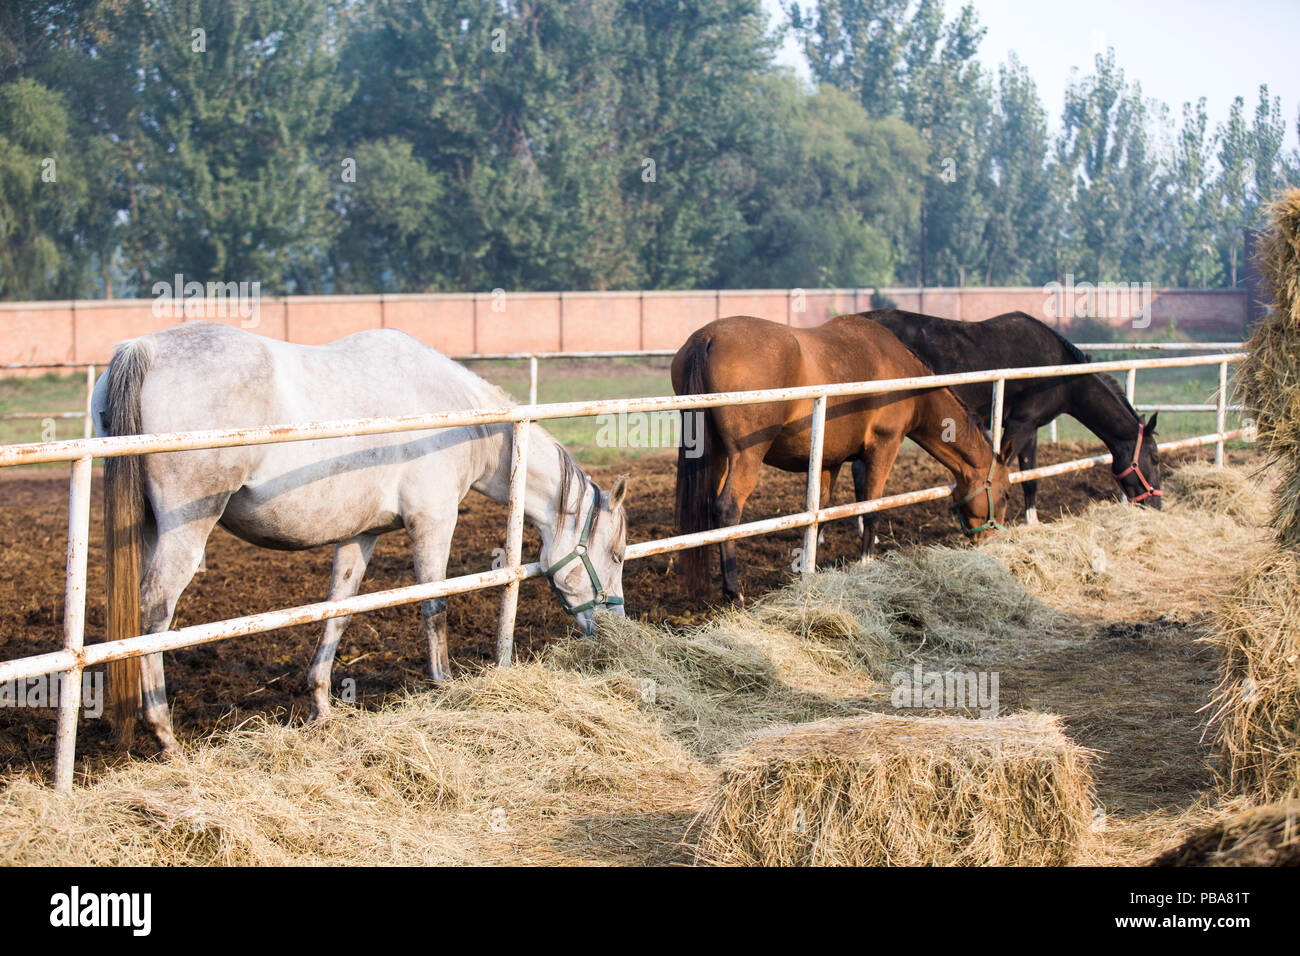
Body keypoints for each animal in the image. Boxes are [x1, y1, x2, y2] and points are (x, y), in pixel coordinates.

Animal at [92, 321, 628, 754]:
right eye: (619, 555)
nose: (616, 628)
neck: (458, 420)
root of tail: (142, 350)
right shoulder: (432, 522)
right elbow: (435, 605)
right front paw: (443, 686)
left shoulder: (361, 536)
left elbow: (340, 609)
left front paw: (322, 707)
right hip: (186, 528)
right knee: (154, 611)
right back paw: (165, 734)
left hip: (142, 528)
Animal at [672, 314, 1011, 603]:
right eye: (1007, 494)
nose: (990, 539)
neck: (905, 380)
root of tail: (708, 338)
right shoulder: (884, 447)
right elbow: (871, 508)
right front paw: (867, 562)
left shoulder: (828, 462)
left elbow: (820, 513)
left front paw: (806, 571)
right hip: (745, 457)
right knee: (727, 509)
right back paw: (734, 592)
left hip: (713, 454)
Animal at [862, 309, 1161, 524]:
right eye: (1156, 458)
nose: (1156, 504)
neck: (1059, 373)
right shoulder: (1020, 425)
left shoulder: (1032, 428)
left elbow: (1031, 478)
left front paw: (1033, 522)